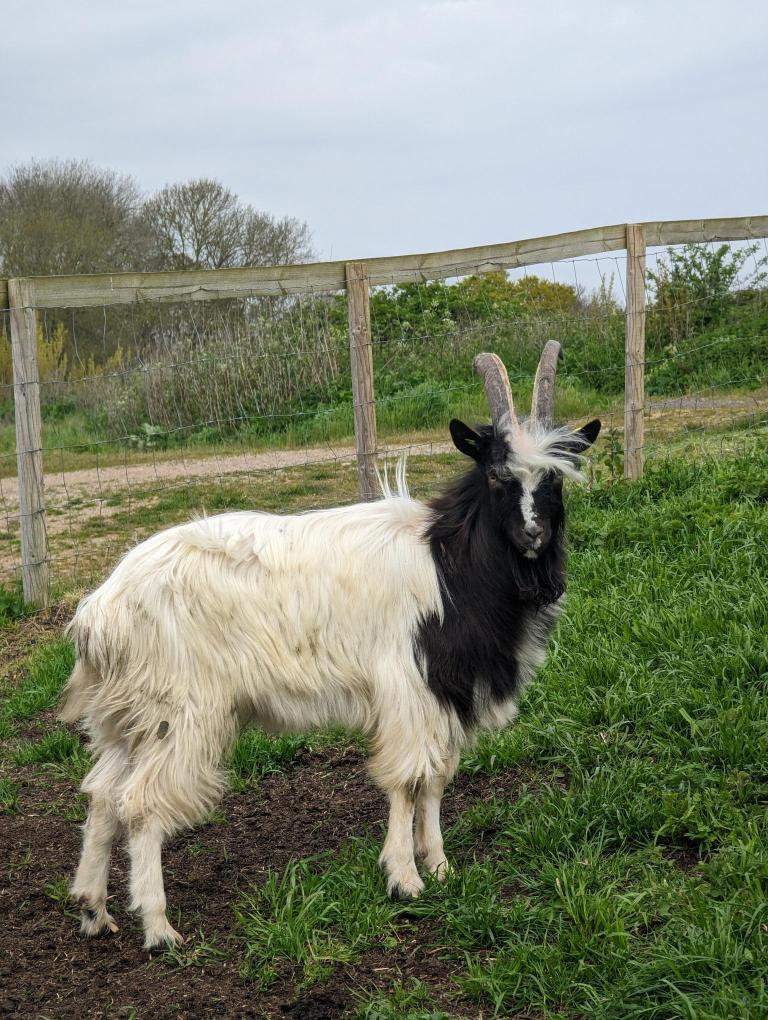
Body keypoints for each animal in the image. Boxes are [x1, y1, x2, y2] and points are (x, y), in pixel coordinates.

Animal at [59, 345, 600, 949]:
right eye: (497, 475)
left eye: (556, 478)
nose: (533, 536)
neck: (449, 564)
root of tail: (100, 612)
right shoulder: (408, 685)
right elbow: (408, 780)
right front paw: (404, 877)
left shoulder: (443, 689)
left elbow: (436, 780)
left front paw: (439, 865)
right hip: (180, 711)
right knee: (141, 803)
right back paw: (159, 927)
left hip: (126, 715)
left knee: (103, 794)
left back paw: (92, 908)